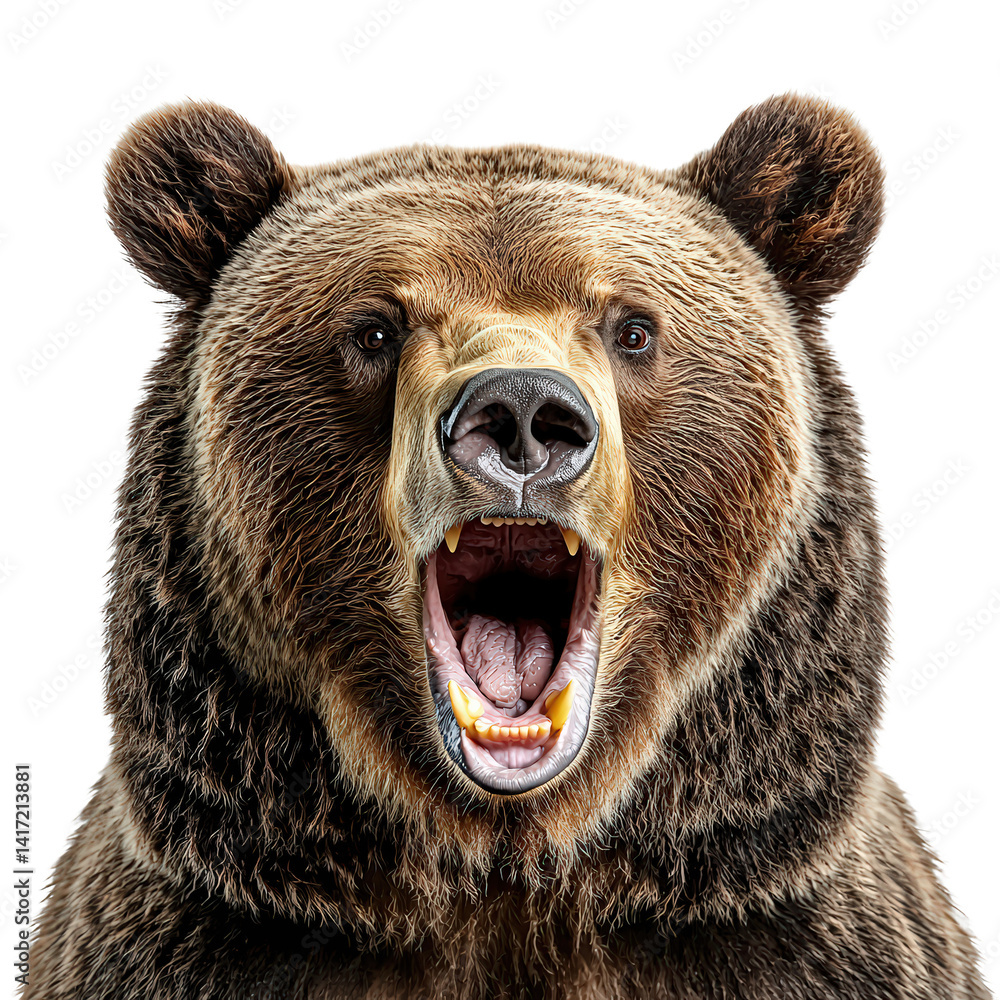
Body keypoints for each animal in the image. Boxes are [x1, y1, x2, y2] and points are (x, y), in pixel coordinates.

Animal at [26, 94, 989, 999]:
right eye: (373, 328)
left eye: (632, 326)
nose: (521, 412)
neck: (507, 874)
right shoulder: (199, 935)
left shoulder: (791, 938)